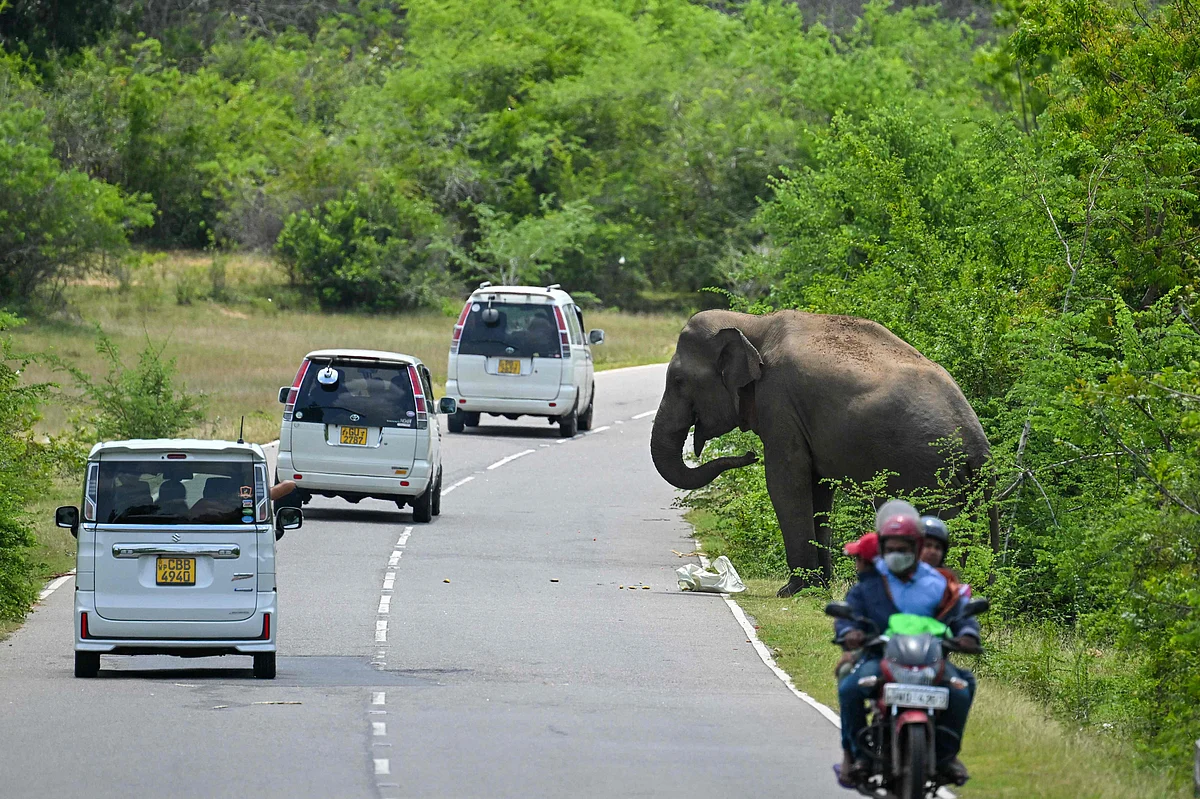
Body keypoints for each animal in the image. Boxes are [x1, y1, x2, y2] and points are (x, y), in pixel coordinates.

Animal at [650, 309, 998, 597]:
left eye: (679, 380)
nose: (749, 455)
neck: (753, 323)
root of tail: (979, 445)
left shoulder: (779, 400)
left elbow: (786, 482)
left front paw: (791, 591)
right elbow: (818, 488)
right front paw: (819, 588)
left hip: (930, 473)